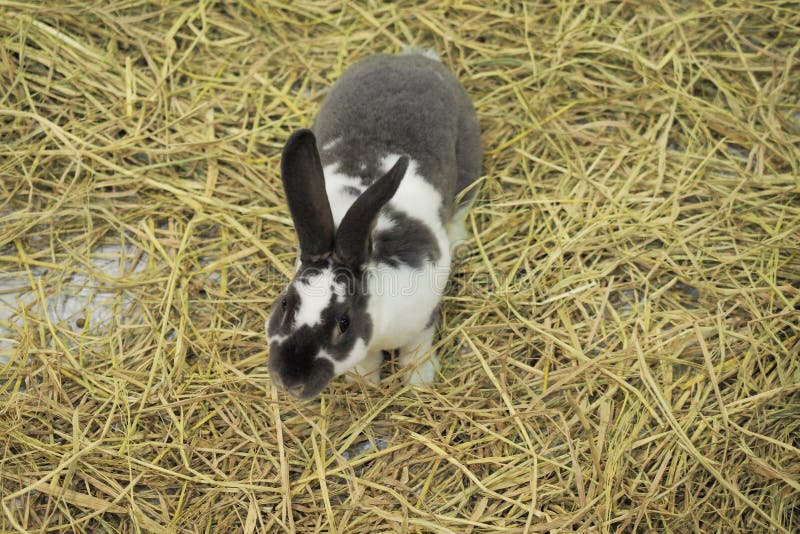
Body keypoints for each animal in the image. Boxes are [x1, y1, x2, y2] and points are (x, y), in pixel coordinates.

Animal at [266, 48, 481, 399]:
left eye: (344, 323)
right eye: (285, 303)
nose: (289, 382)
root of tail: (413, 59)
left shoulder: (423, 319)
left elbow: (416, 350)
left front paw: (420, 382)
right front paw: (365, 382)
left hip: (469, 167)